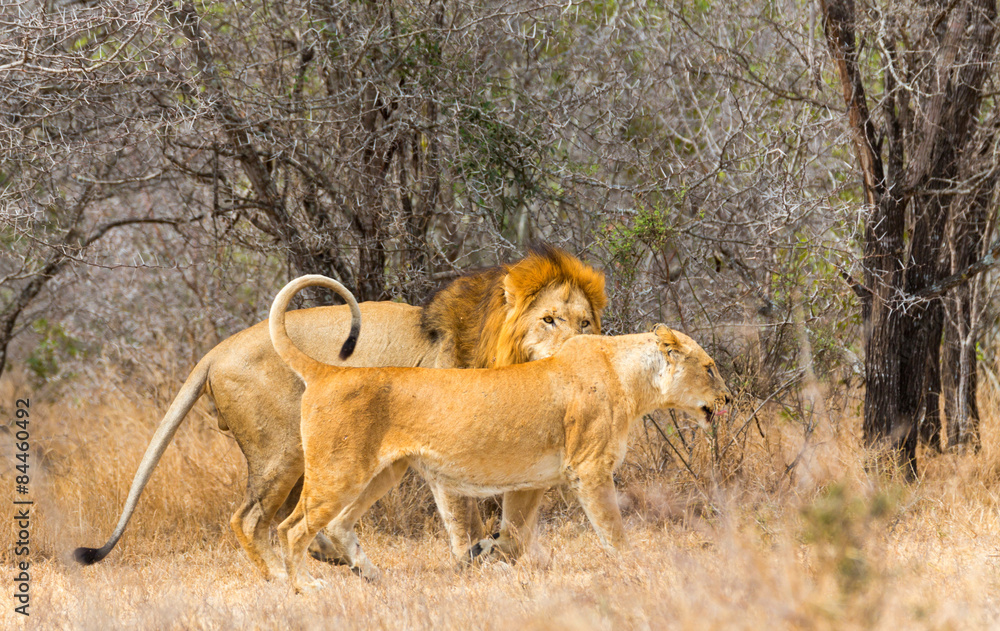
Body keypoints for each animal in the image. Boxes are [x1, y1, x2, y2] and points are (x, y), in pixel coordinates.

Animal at [74, 246, 606, 580]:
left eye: (585, 322)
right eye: (549, 320)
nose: (581, 348)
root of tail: (216, 351)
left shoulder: (528, 467)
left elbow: (513, 534)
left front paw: (495, 556)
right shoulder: (449, 457)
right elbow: (467, 524)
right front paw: (477, 562)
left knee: (293, 522)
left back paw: (337, 562)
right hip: (285, 449)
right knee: (250, 520)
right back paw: (285, 579)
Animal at [267, 275, 732, 591]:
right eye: (710, 367)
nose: (729, 398)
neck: (631, 380)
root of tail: (327, 372)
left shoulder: (532, 480)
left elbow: (514, 537)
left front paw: (483, 553)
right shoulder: (589, 470)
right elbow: (613, 530)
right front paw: (638, 570)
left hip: (381, 472)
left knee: (337, 524)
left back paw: (371, 574)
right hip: (339, 471)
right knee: (291, 529)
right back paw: (305, 588)